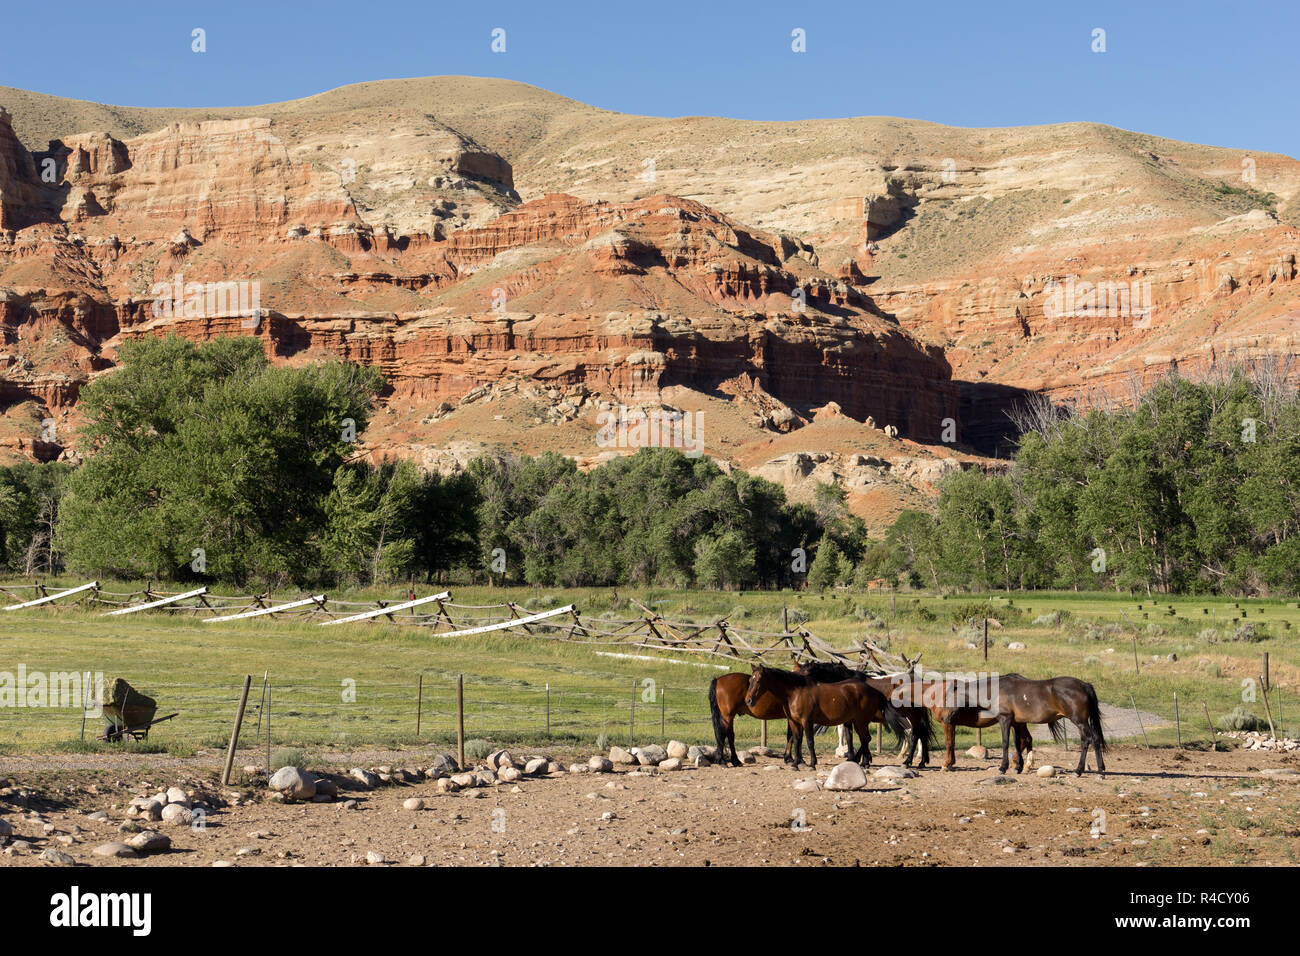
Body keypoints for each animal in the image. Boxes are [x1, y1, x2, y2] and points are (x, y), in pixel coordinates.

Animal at [745, 664, 907, 769]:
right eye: (750, 680)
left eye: (758, 680)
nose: (748, 700)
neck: (795, 692)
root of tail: (872, 690)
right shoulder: (794, 722)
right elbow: (796, 740)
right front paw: (795, 763)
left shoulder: (807, 721)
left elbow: (809, 741)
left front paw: (812, 763)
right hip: (858, 722)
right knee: (865, 739)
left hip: (860, 722)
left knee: (866, 739)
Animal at [793, 660, 937, 768]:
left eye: (805, 672)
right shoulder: (851, 720)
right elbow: (852, 738)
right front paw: (863, 760)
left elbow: (861, 739)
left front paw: (859, 759)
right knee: (922, 733)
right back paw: (922, 762)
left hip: (912, 716)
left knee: (916, 734)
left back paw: (908, 761)